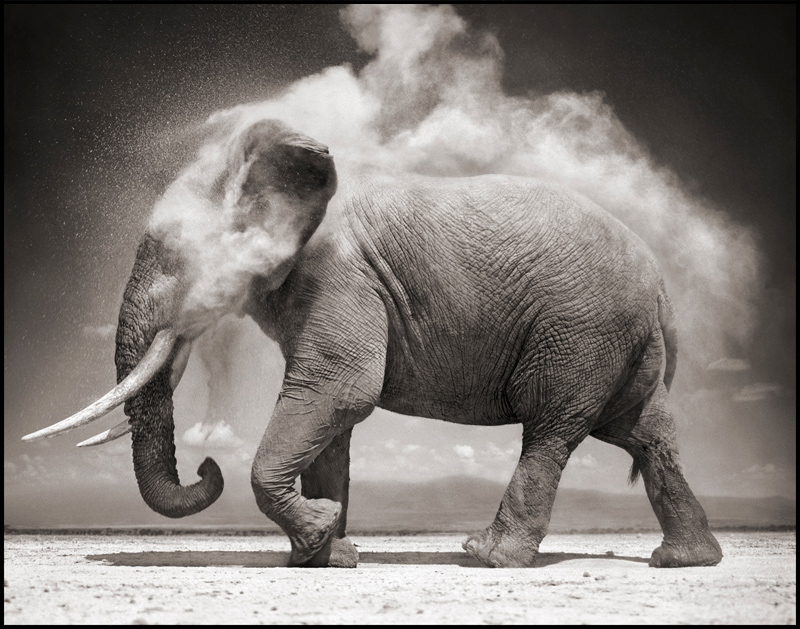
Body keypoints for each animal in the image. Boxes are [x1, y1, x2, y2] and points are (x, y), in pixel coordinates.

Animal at [24, 118, 723, 569]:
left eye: (173, 255)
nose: (205, 466)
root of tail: (662, 287)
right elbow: (332, 421)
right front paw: (326, 555)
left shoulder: (340, 276)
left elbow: (341, 390)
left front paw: (319, 537)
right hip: (618, 342)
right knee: (645, 435)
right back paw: (684, 561)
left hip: (580, 331)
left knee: (552, 430)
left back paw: (487, 557)